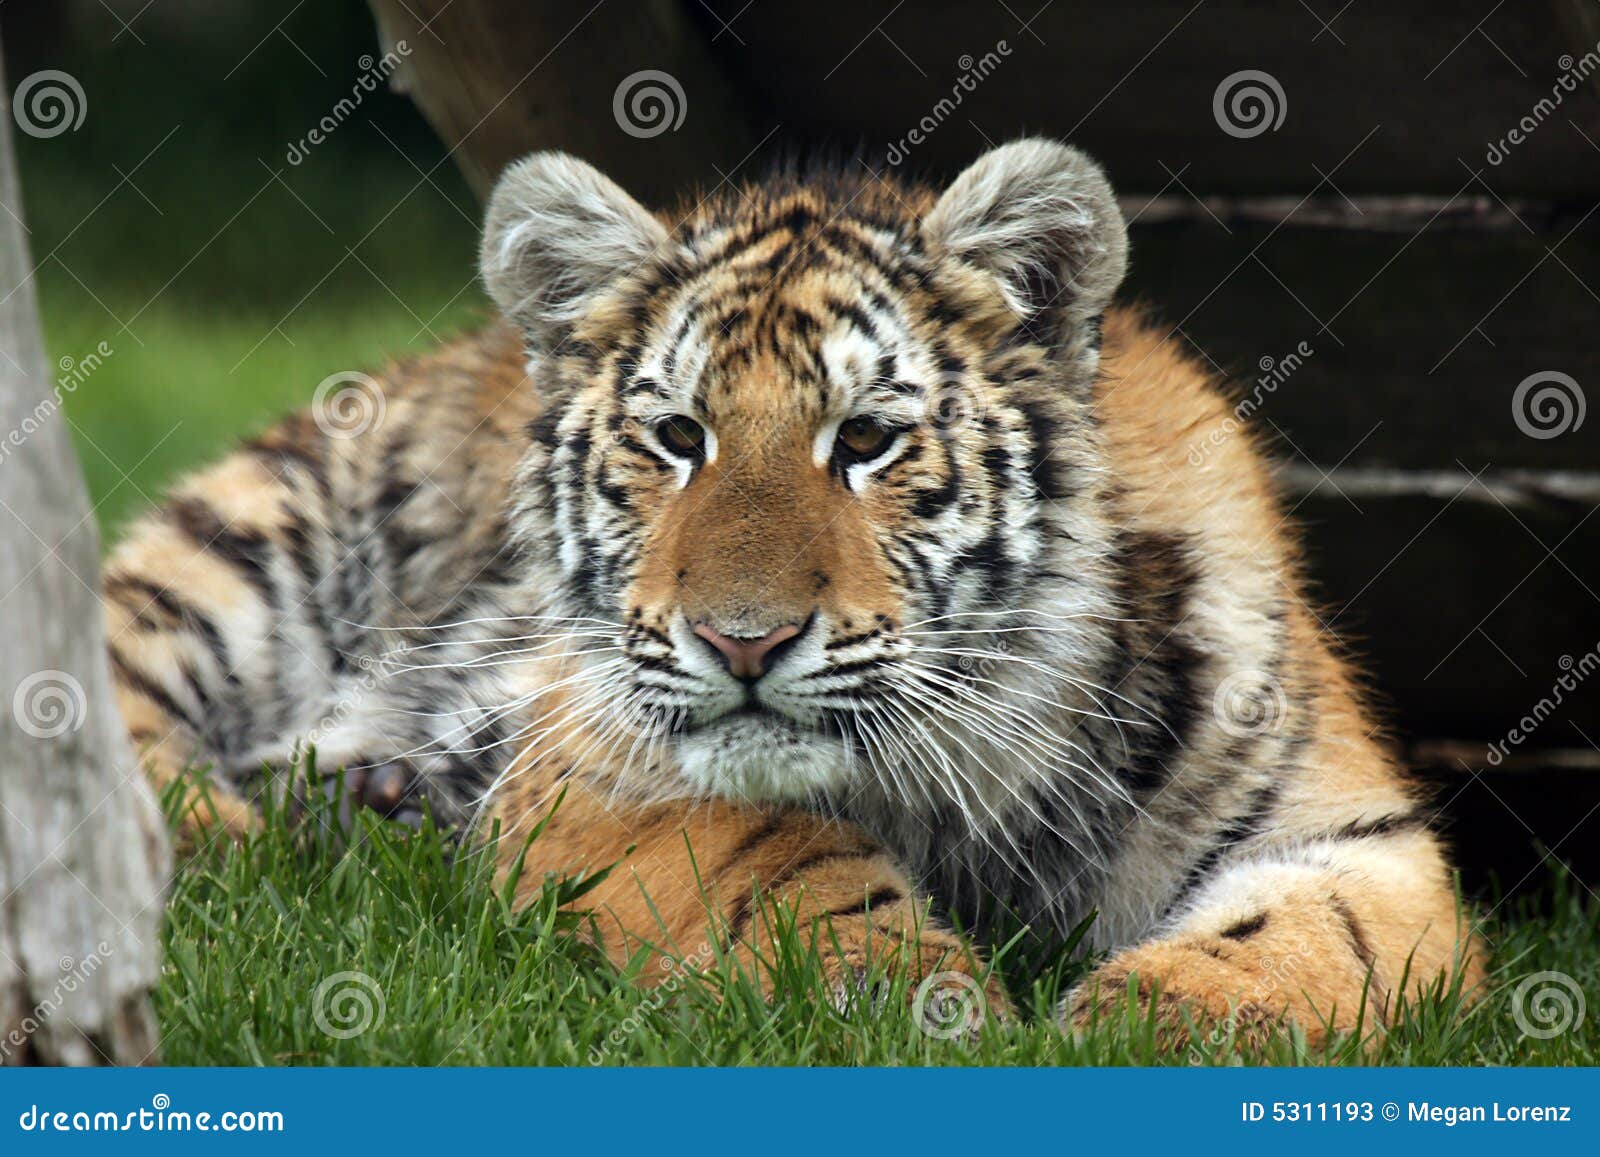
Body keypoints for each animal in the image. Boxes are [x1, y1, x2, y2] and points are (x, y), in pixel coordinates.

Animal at [103, 138, 1480, 1044]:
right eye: (676, 437)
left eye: (866, 438)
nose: (741, 640)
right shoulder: (601, 769)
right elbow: (783, 863)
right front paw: (925, 1006)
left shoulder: (1354, 833)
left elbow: (1305, 946)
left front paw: (1136, 1036)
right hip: (260, 541)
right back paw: (228, 838)